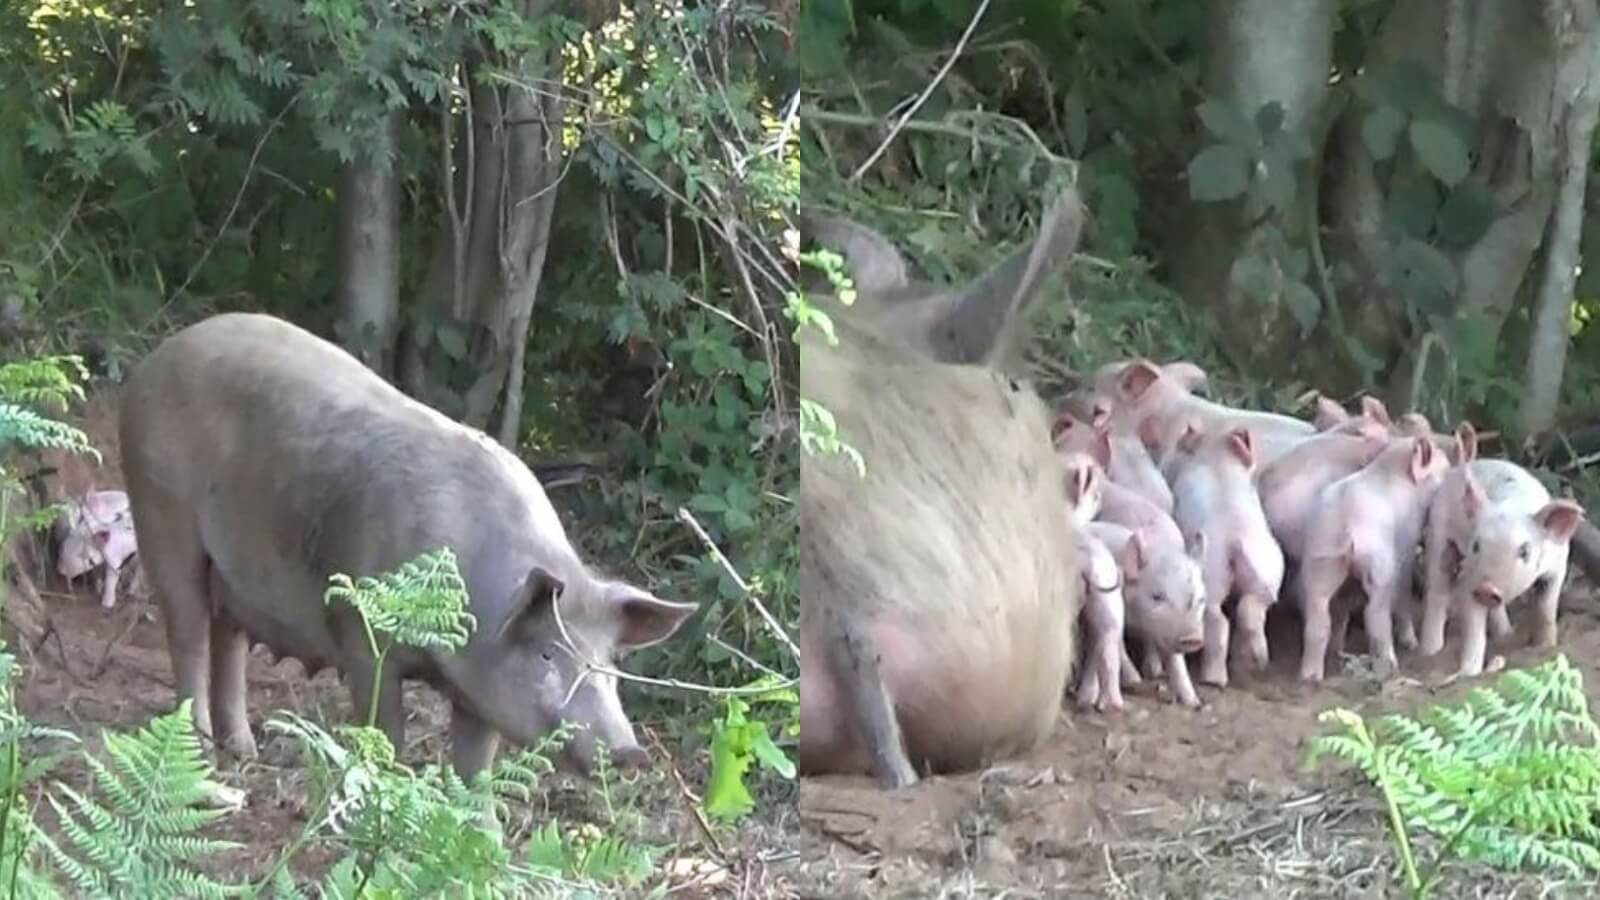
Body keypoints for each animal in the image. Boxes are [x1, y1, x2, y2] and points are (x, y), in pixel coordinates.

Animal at [118, 313, 698, 780]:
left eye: (611, 663)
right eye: (547, 654)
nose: (629, 754)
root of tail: (157, 357)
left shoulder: (479, 692)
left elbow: (476, 767)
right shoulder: (362, 631)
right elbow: (386, 729)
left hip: (231, 569)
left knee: (228, 639)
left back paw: (243, 752)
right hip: (160, 510)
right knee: (188, 633)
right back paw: (201, 757)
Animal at [1088, 522, 1206, 707]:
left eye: (1201, 599)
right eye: (1157, 596)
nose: (1193, 638)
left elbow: (1176, 659)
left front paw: (1193, 702)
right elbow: (1118, 642)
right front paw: (1134, 680)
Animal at [1166, 424, 1285, 685]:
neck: (1216, 458)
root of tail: (1233, 540)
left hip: (1211, 571)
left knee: (1216, 618)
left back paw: (1213, 679)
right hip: (1267, 565)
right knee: (1251, 609)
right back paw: (1255, 664)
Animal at [1296, 436, 1448, 681]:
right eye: (1444, 469)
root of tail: (1345, 519)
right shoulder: (1407, 541)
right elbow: (1404, 586)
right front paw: (1411, 643)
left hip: (1320, 558)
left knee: (1319, 616)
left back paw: (1313, 675)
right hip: (1378, 561)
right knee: (1375, 613)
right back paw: (1390, 666)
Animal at [1418, 459, 1584, 678]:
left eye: (1524, 551)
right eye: (1476, 546)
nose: (1487, 589)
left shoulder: (1558, 566)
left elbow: (1546, 607)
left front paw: (1546, 647)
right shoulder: (1471, 576)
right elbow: (1473, 627)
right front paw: (1469, 673)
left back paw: (1506, 634)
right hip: (1438, 535)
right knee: (1437, 589)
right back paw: (1430, 652)